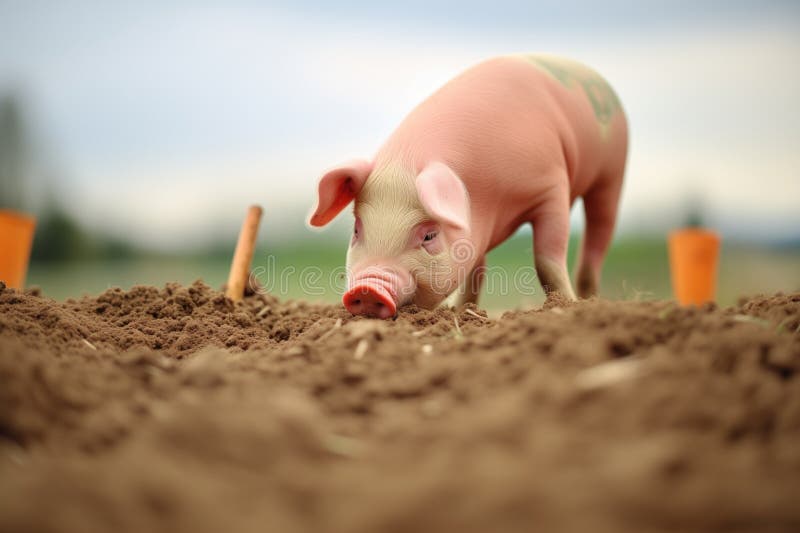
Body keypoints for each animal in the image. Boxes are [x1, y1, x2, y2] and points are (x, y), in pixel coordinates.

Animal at [309, 54, 628, 318]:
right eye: (356, 230)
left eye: (429, 236)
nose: (367, 288)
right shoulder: (471, 228)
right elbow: (475, 271)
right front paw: (462, 310)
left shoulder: (552, 188)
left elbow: (546, 259)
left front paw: (565, 305)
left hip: (612, 172)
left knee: (599, 231)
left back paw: (590, 299)